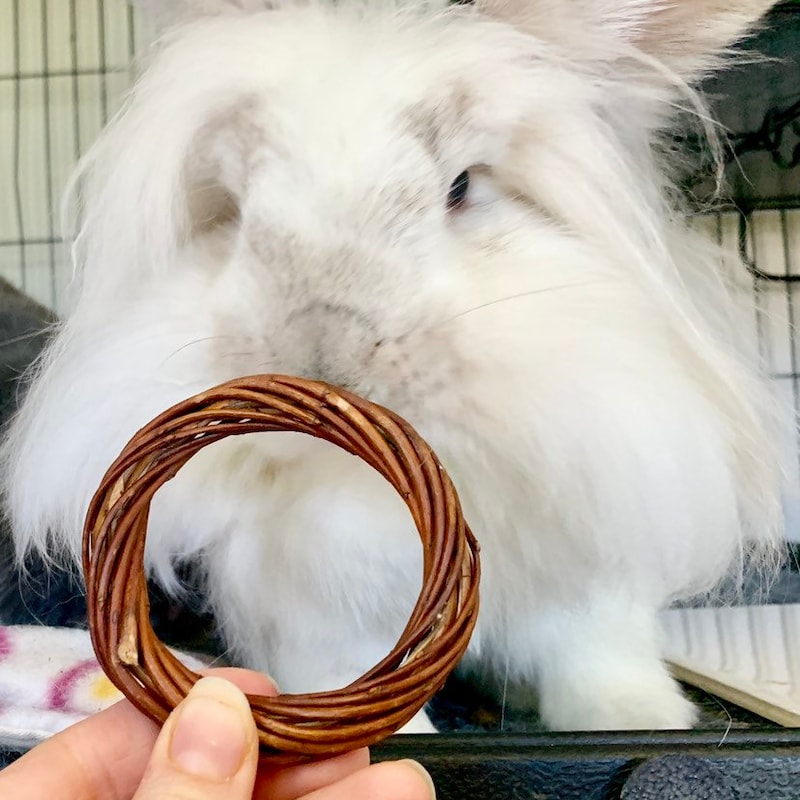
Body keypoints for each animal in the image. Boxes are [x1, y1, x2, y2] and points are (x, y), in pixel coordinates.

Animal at [0, 0, 790, 734]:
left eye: (461, 187)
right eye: (237, 208)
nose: (319, 356)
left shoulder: (595, 572)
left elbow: (599, 662)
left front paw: (637, 716)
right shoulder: (319, 614)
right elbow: (357, 688)